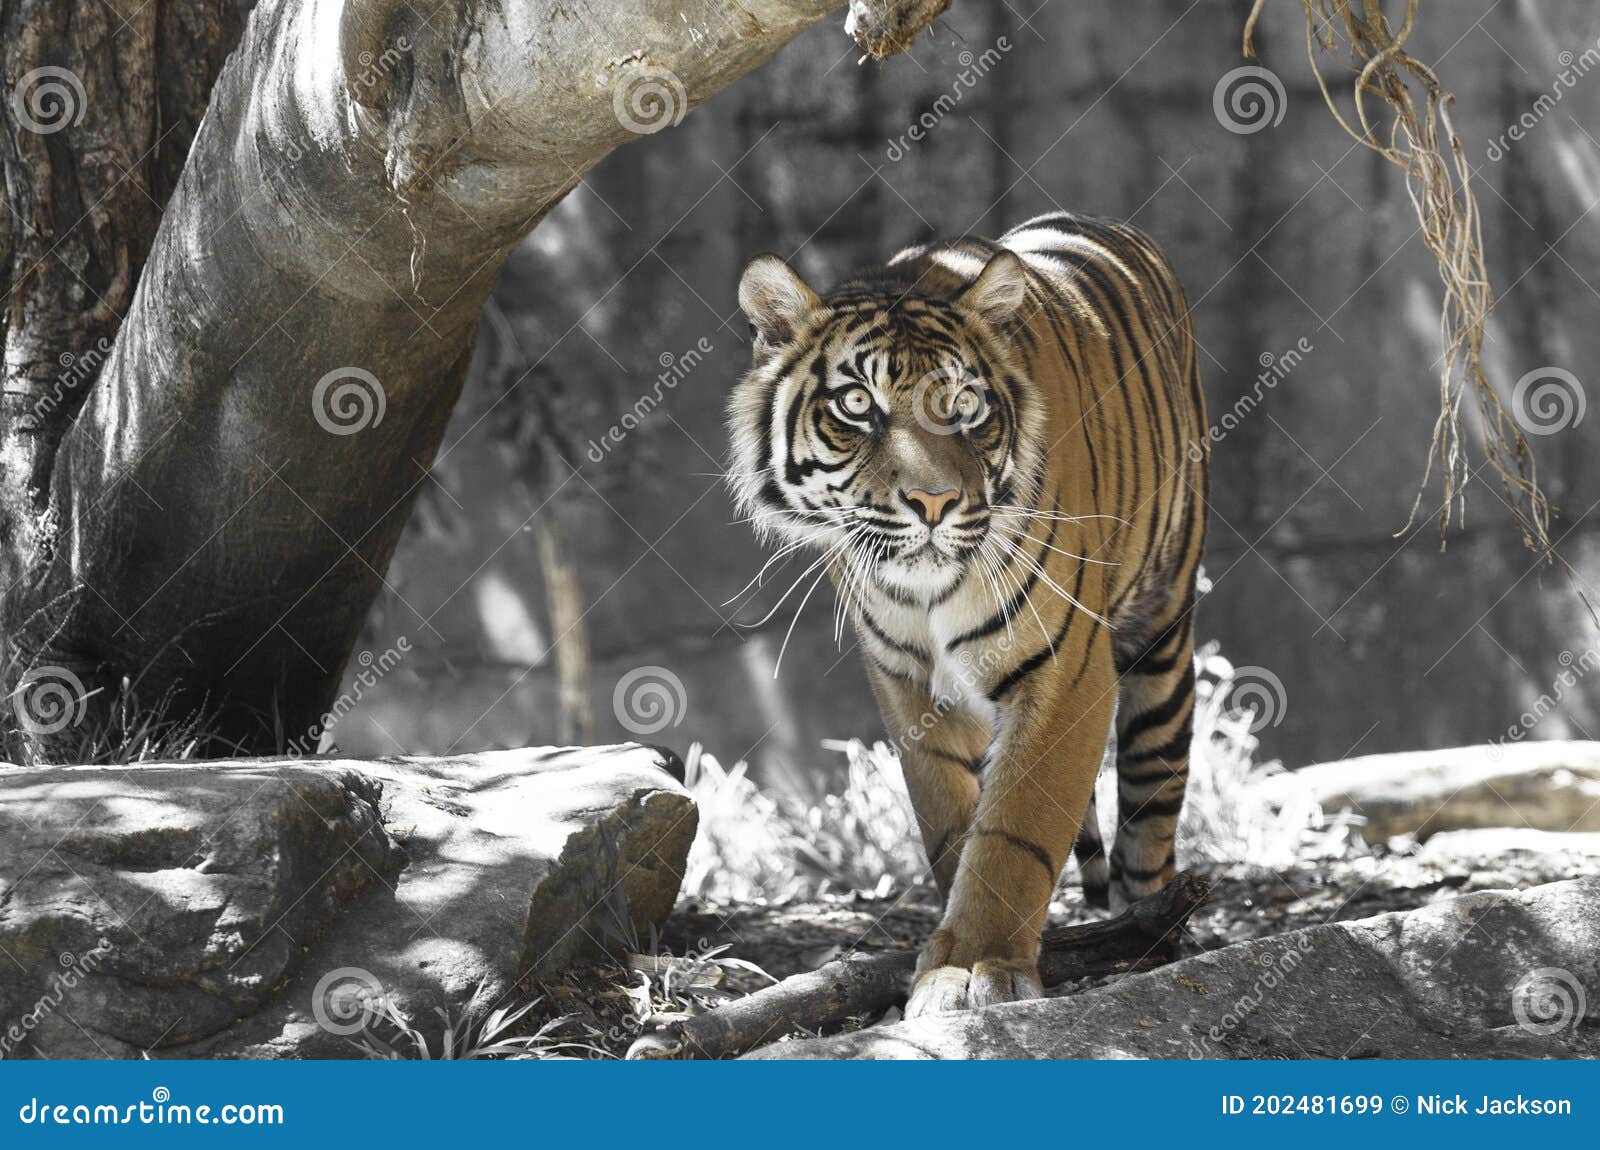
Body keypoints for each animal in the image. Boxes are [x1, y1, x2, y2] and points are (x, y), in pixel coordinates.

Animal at [726, 211, 1207, 1016]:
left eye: (965, 405)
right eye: (857, 404)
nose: (934, 502)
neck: (925, 593)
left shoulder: (1066, 669)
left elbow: (1015, 829)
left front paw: (980, 967)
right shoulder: (907, 684)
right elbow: (953, 821)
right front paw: (949, 956)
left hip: (1162, 633)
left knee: (1150, 811)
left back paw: (1151, 936)